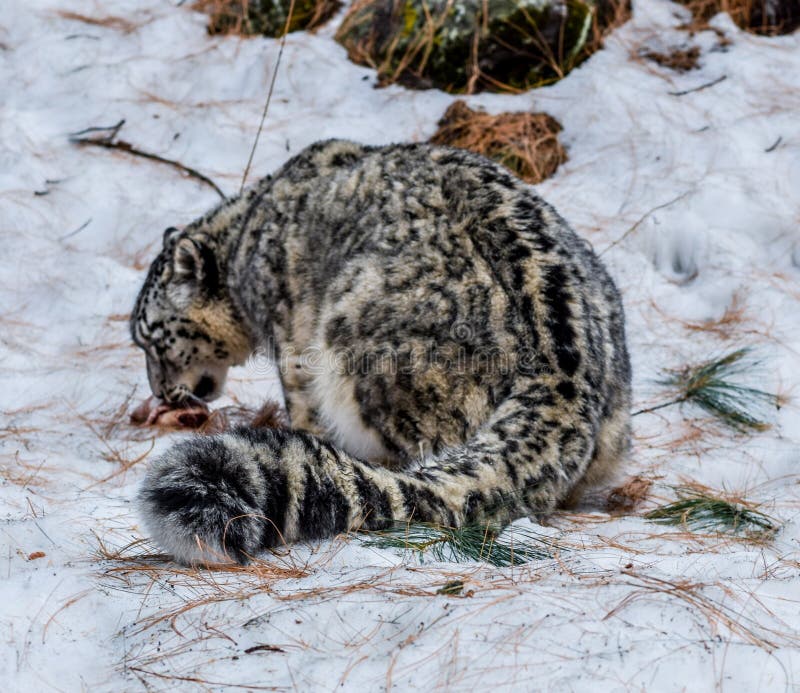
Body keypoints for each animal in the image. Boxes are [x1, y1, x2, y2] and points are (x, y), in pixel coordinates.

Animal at [131, 139, 631, 565]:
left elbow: (302, 403)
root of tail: (562, 373)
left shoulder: (289, 335)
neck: (243, 234)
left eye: (153, 339)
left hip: (368, 351)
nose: (162, 393)